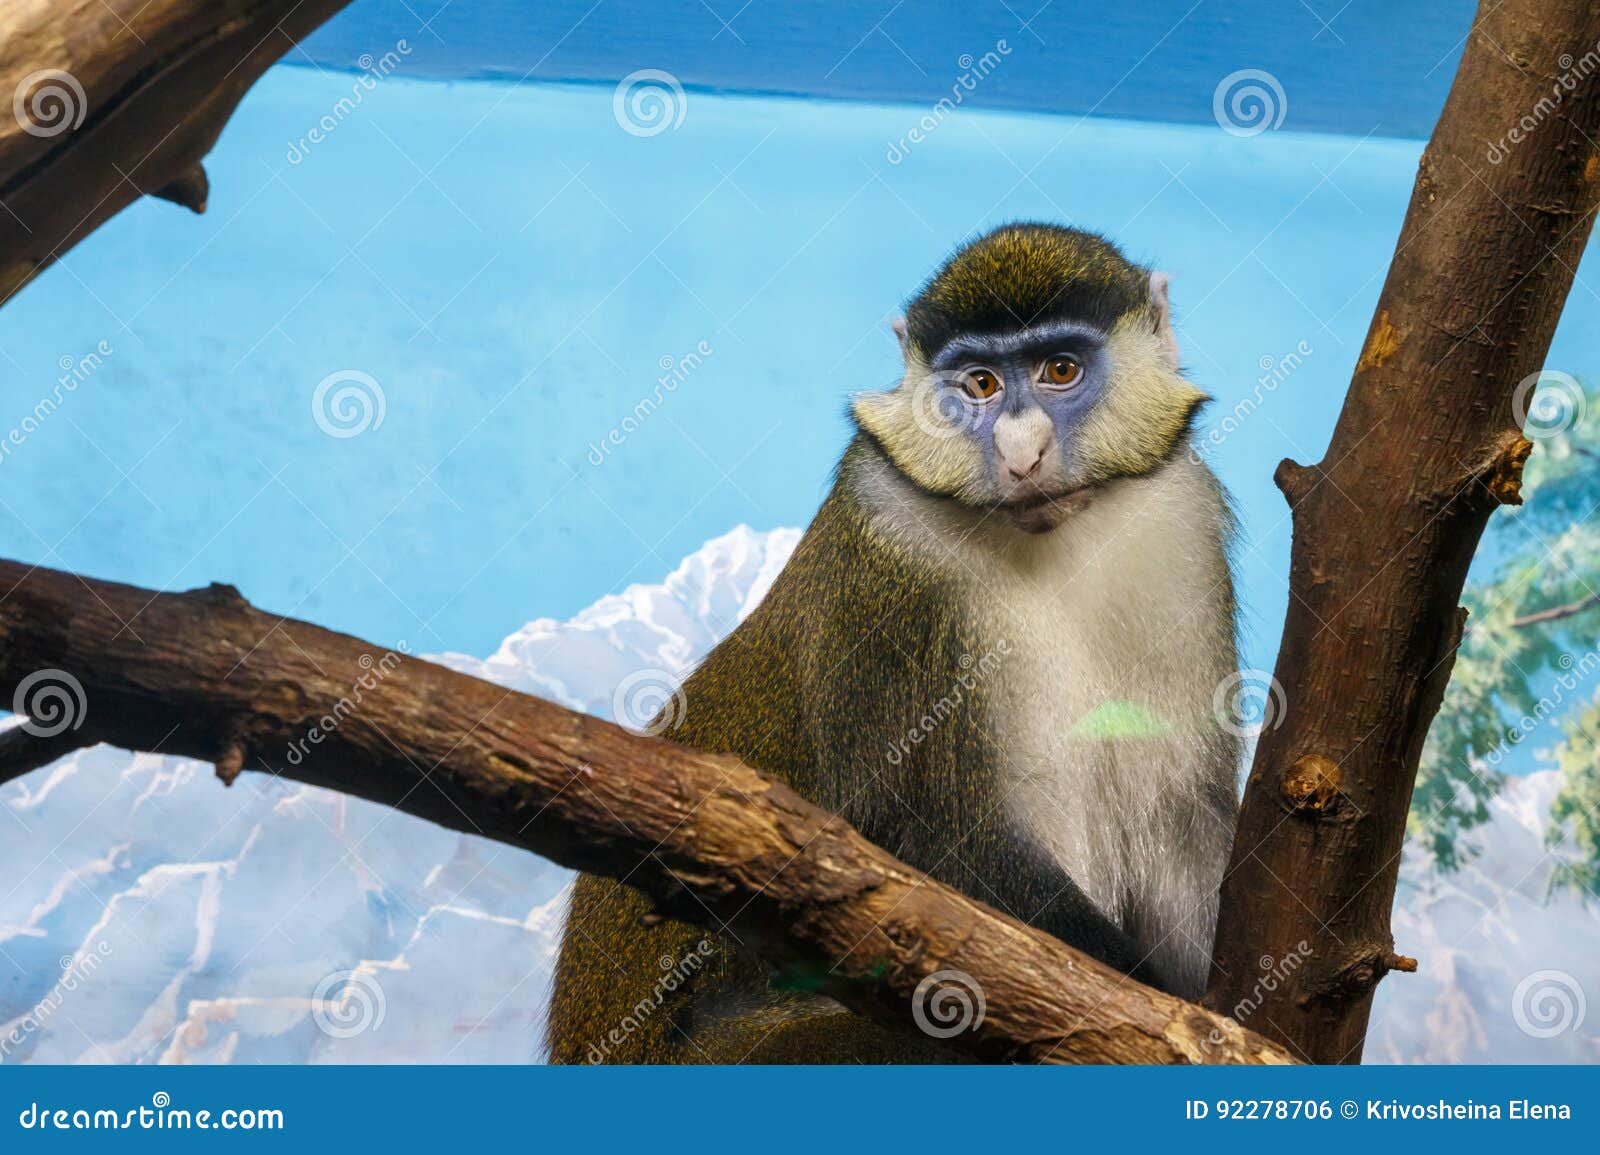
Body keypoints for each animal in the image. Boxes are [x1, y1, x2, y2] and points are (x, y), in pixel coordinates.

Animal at [546, 223, 1241, 1064]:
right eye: (978, 384)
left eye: (1060, 369)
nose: (1023, 455)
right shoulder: (889, 565)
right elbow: (939, 842)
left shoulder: (1181, 523)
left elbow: (1183, 828)